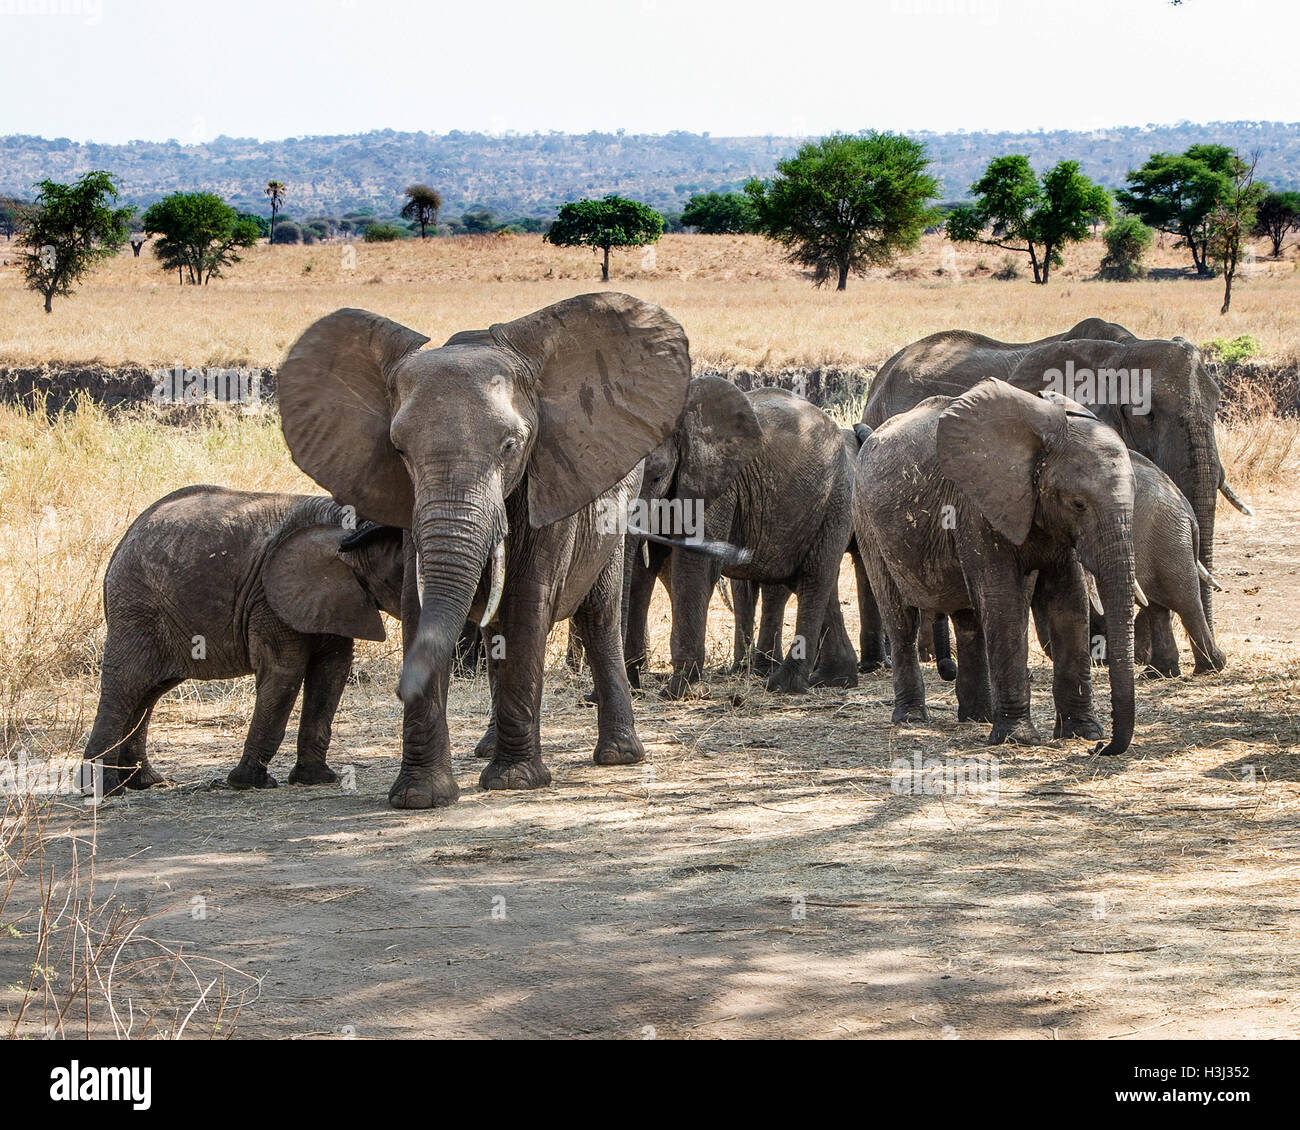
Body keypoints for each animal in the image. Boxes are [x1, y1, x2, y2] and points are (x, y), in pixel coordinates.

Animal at [83, 487, 404, 795]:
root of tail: (123, 542)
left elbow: (332, 674)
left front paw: (317, 779)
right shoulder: (268, 600)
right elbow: (284, 672)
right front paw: (251, 783)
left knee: (148, 692)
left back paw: (144, 781)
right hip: (137, 608)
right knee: (126, 684)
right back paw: (106, 791)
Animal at [275, 293, 693, 808]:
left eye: (511, 446)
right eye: (399, 450)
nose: (399, 689)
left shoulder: (550, 483)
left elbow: (527, 603)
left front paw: (515, 782)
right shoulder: (408, 502)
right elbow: (420, 605)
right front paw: (421, 797)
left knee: (597, 614)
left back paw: (618, 756)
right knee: (499, 631)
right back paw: (487, 748)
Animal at [621, 380, 857, 698]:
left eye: (657, 476)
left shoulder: (717, 485)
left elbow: (692, 567)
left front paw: (679, 691)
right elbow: (642, 567)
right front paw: (630, 688)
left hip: (835, 499)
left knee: (814, 578)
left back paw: (783, 685)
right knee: (811, 579)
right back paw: (835, 678)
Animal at [854, 379, 1138, 756]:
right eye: (1078, 504)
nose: (1101, 750)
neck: (1043, 433)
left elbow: (1070, 603)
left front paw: (1082, 733)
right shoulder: (975, 507)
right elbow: (1004, 602)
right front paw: (1019, 739)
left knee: (969, 619)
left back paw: (978, 717)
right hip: (867, 524)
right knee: (900, 618)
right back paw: (911, 718)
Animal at [1032, 449, 1225, 678]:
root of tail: (1185, 507)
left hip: (1164, 535)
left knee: (1183, 599)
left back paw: (1209, 666)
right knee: (1156, 604)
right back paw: (1159, 672)